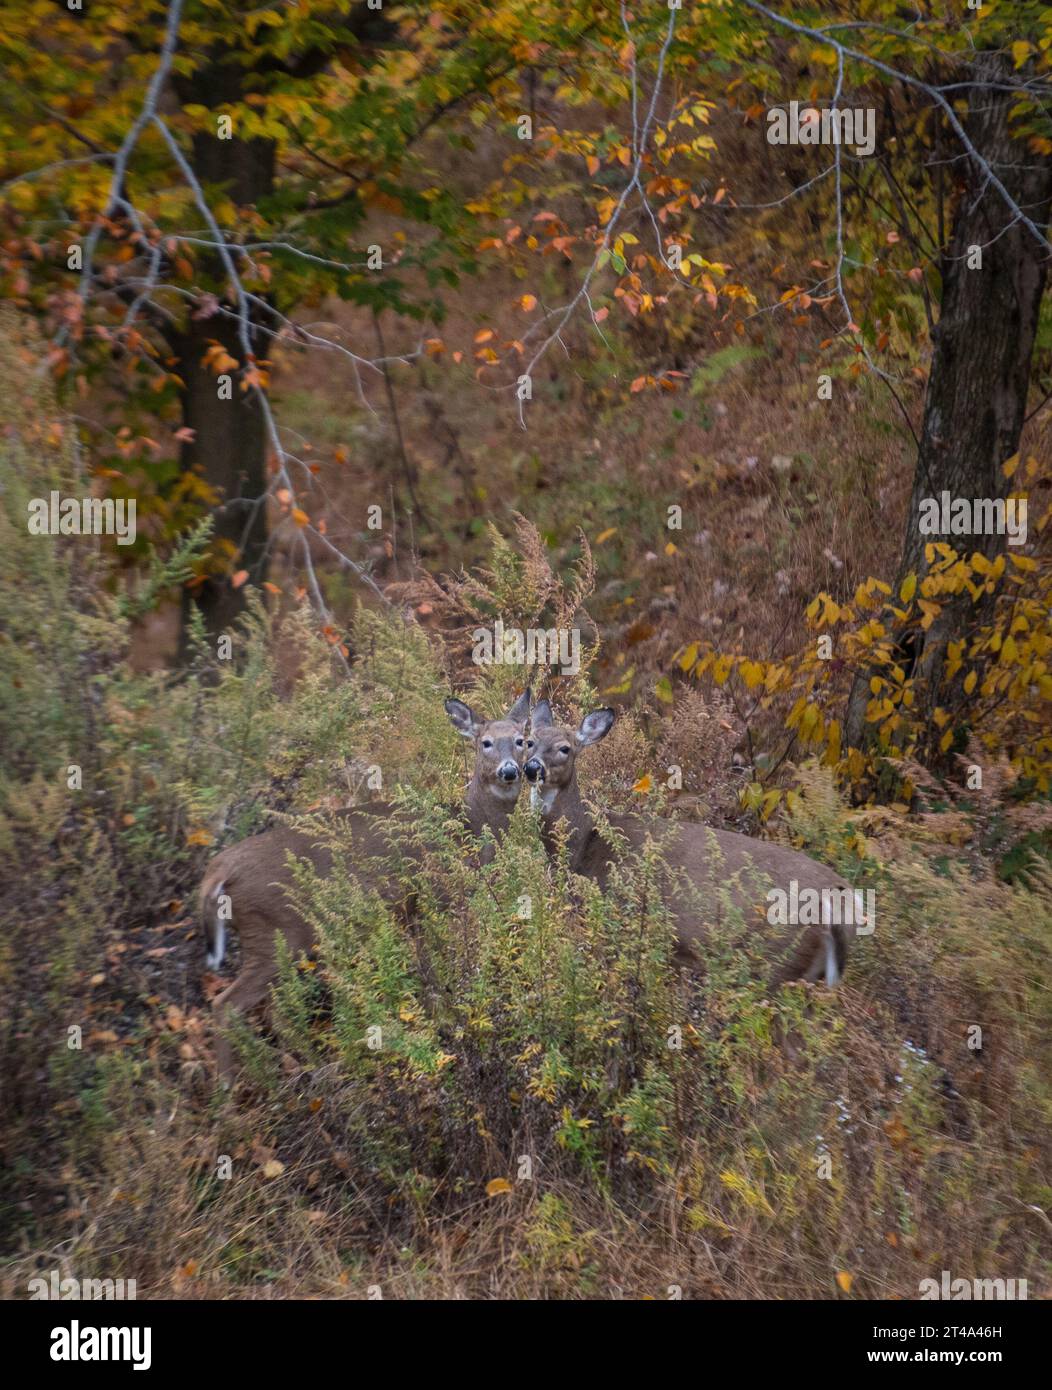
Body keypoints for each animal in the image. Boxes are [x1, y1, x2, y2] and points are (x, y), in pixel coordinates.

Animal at [200, 689, 532, 1077]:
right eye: (486, 742)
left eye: (522, 740)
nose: (509, 771)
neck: (469, 826)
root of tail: (219, 870)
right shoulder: (434, 898)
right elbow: (438, 972)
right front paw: (446, 1023)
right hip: (273, 932)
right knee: (227, 1005)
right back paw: (233, 1084)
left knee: (271, 1011)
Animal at [522, 700, 859, 986]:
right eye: (529, 741)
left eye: (565, 748)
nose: (532, 768)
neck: (584, 847)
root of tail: (841, 900)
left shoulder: (617, 918)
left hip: (777, 957)